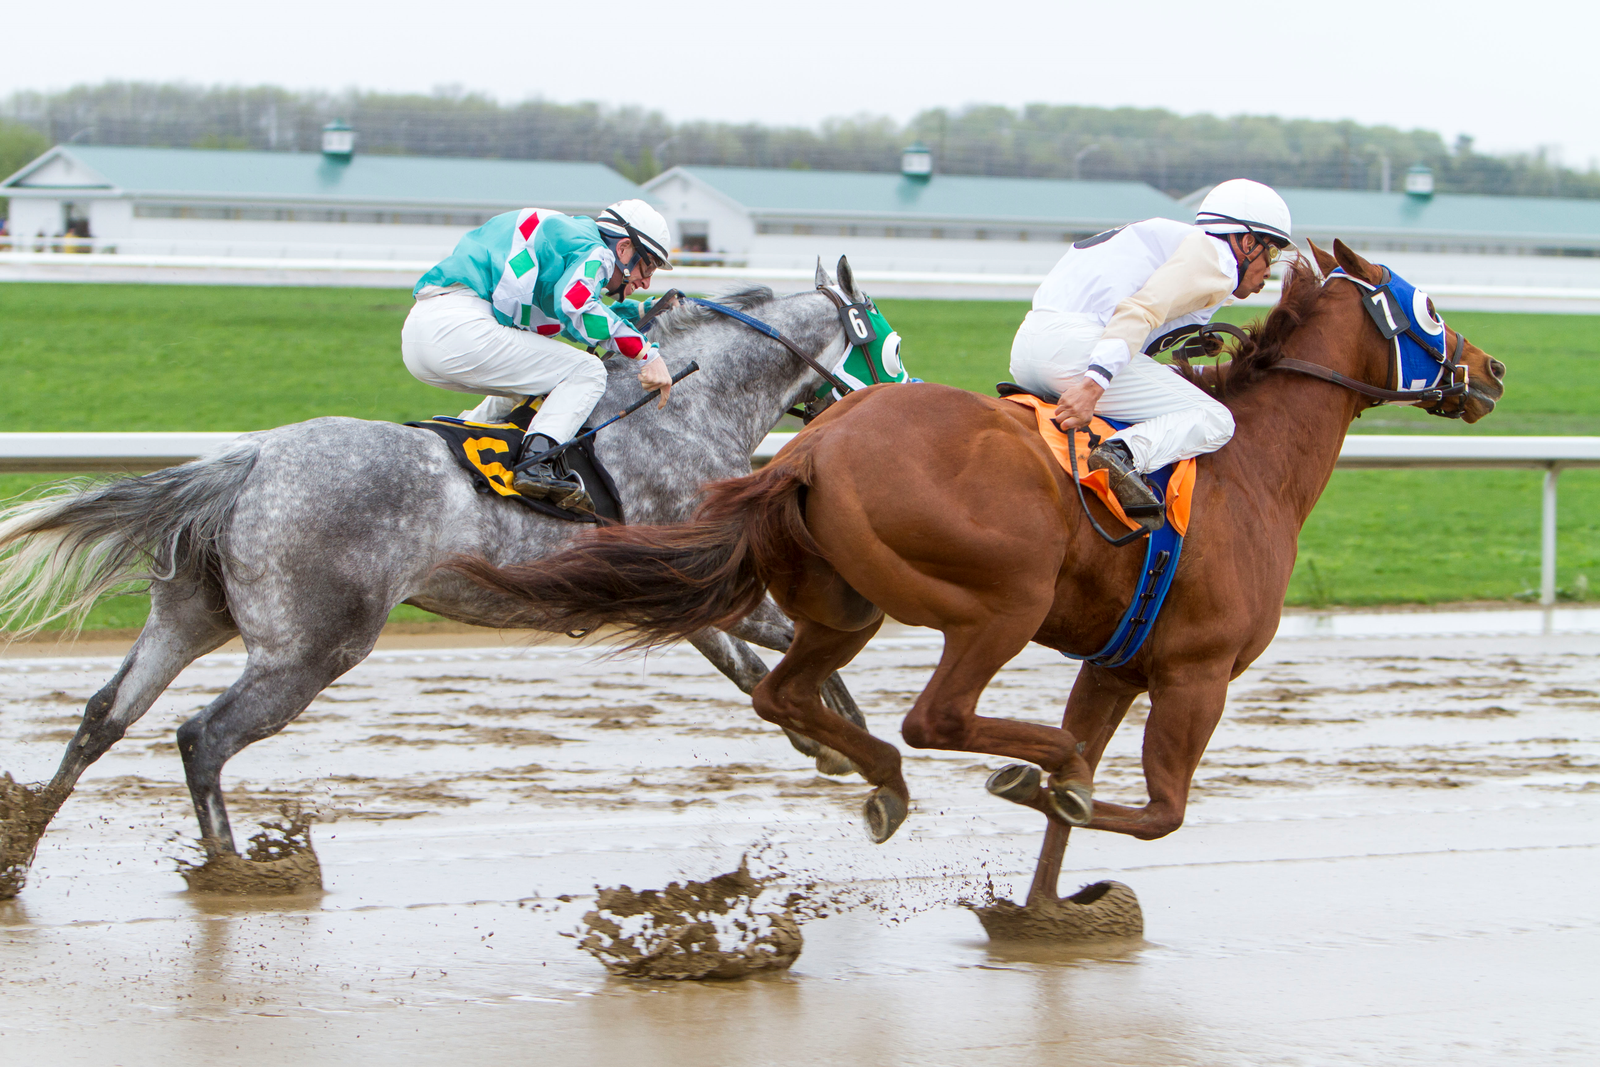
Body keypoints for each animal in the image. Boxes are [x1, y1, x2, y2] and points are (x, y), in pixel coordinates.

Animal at [0, 260, 887, 898]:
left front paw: (825, 748)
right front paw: (868, 771)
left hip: (190, 615)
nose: (903, 398)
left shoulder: (686, 599)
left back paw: (22, 848)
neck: (685, 415)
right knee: (201, 737)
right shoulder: (714, 580)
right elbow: (808, 647)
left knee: (105, 714)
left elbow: (755, 671)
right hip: (310, 647)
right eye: (883, 334)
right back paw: (235, 874)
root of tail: (247, 458)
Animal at [443, 240, 1507, 905]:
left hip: (846, 606)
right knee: (937, 717)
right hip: (1004, 601)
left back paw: (886, 780)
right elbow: (1159, 810)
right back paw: (1008, 762)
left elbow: (1070, 828)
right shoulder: (1195, 672)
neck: (1255, 466)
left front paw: (1045, 911)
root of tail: (808, 450)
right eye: (1427, 305)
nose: (1490, 370)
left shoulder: (1115, 665)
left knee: (787, 693)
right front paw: (1054, 785)